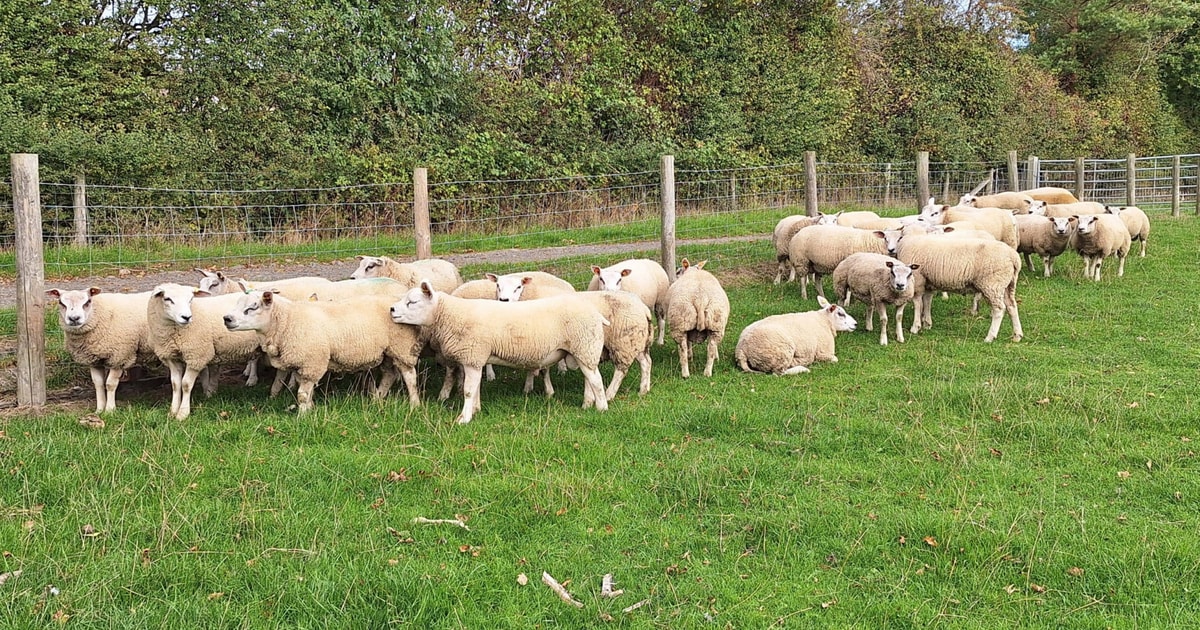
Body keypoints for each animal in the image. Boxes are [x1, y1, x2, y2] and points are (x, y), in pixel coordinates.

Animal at [146, 284, 262, 419]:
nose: (186, 317)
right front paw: (173, 412)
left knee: (255, 360)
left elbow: (186, 384)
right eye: (167, 299)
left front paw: (182, 414)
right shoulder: (171, 358)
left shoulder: (196, 356)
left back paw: (252, 379)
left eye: (191, 299)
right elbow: (175, 384)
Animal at [222, 291, 422, 414]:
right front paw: (310, 408)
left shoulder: (312, 361)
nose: (227, 318)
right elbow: (307, 391)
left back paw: (414, 404)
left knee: (410, 376)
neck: (288, 320)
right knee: (389, 375)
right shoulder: (304, 363)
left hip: (402, 347)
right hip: (388, 352)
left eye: (252, 307)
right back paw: (378, 399)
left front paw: (302, 417)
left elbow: (302, 394)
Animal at [389, 282, 609, 424]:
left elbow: (468, 390)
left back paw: (602, 408)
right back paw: (587, 404)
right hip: (584, 350)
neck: (451, 314)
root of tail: (597, 314)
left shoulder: (473, 355)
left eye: (412, 302)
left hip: (585, 345)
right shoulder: (476, 359)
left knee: (596, 381)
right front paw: (476, 410)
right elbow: (476, 388)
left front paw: (464, 418)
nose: (391, 309)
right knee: (589, 378)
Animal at [887, 231, 1023, 342]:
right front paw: (927, 323)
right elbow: (927, 302)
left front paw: (916, 327)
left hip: (992, 284)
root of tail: (1014, 257)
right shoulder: (928, 282)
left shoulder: (918, 279)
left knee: (999, 309)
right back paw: (1017, 335)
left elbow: (918, 303)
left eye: (899, 237)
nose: (890, 250)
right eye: (886, 238)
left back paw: (990, 337)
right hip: (1008, 284)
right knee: (1012, 306)